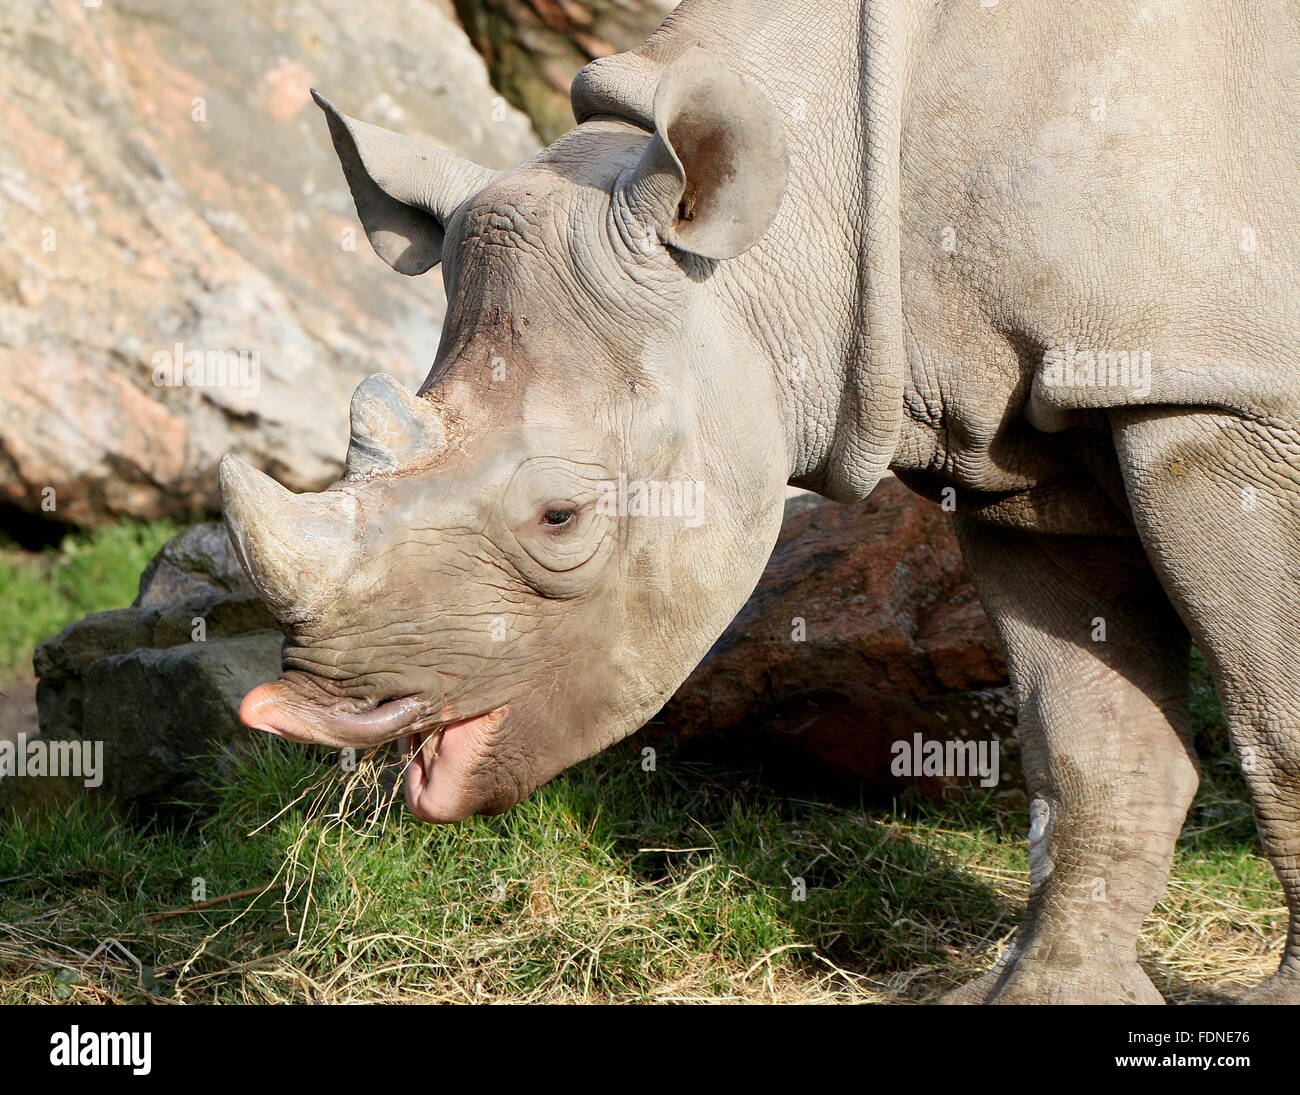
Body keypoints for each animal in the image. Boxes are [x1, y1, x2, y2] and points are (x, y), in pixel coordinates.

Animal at [218, 0, 1300, 1004]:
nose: (301, 712)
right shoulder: (1018, 432)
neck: (815, 204)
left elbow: (1278, 730)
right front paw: (1049, 993)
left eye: (559, 519)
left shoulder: (1223, 395)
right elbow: (1088, 745)